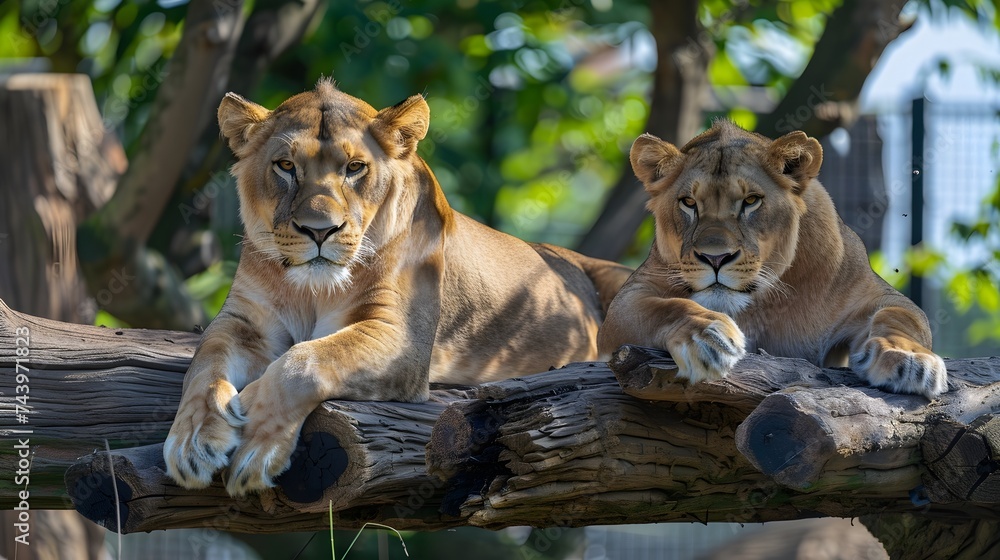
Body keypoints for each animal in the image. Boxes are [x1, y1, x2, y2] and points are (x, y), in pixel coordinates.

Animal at [163, 79, 632, 496]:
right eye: (285, 166)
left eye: (355, 168)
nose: (320, 231)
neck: (311, 291)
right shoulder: (244, 322)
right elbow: (205, 365)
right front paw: (193, 442)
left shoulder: (401, 335)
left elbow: (306, 360)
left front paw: (256, 441)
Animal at [598, 121, 947, 399]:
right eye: (688, 203)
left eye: (751, 201)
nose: (715, 257)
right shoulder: (627, 302)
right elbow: (667, 307)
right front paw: (709, 338)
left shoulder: (871, 293)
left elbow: (901, 315)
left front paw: (909, 360)